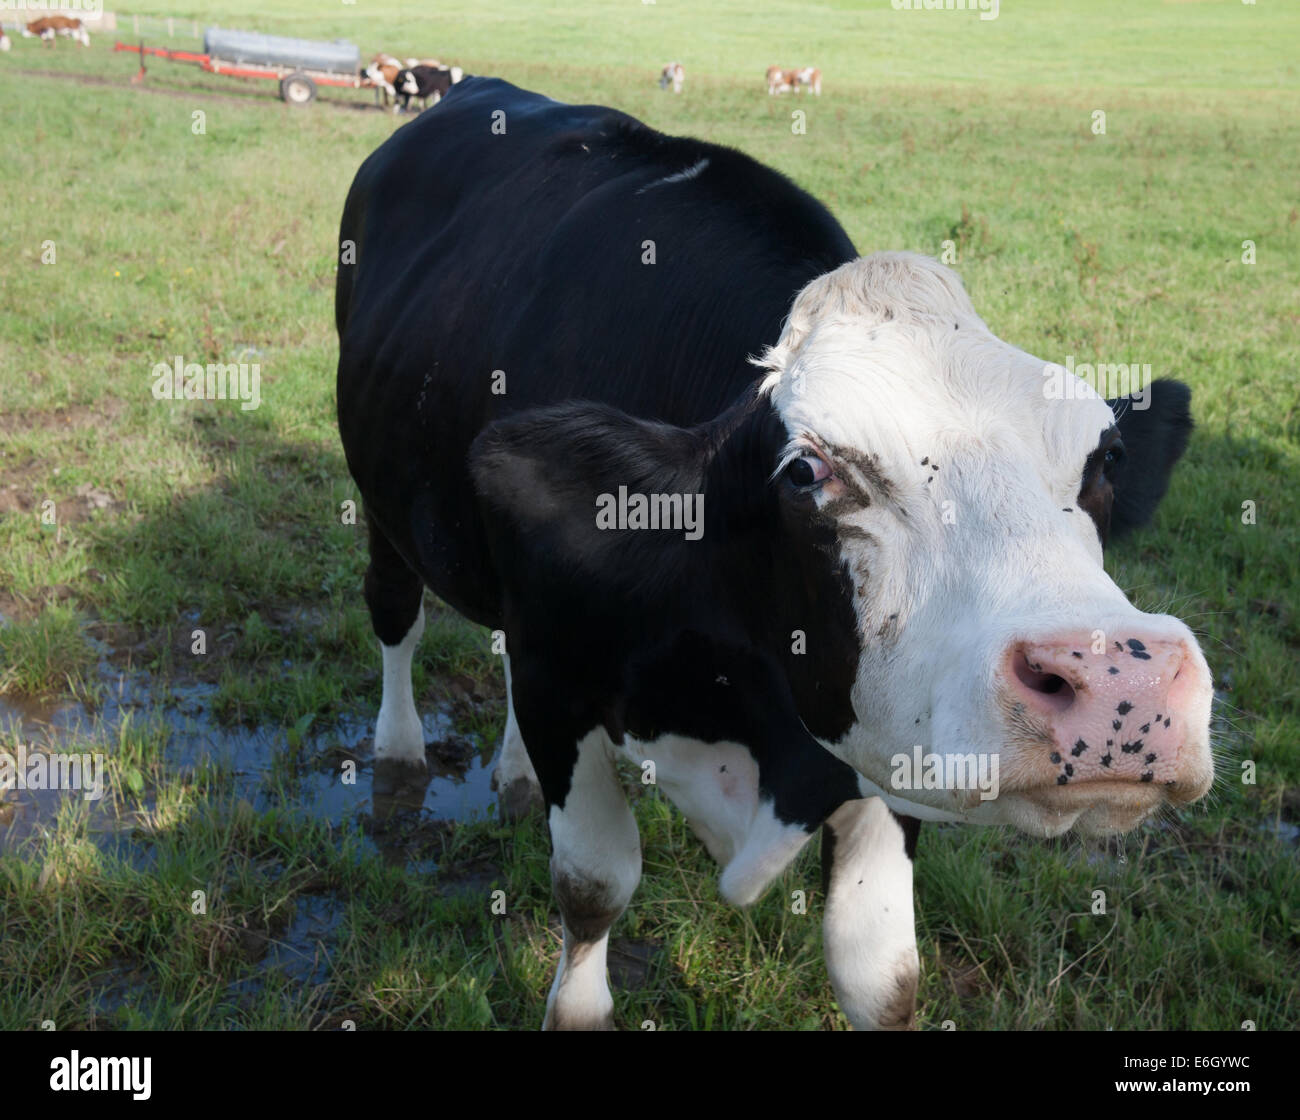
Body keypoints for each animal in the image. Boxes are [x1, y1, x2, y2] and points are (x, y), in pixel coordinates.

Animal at [335, 78, 1214, 1031]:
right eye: (805, 471)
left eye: (1106, 459)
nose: (1123, 681)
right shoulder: (557, 672)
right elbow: (595, 891)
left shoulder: (871, 759)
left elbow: (881, 976)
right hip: (383, 502)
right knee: (396, 616)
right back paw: (399, 758)